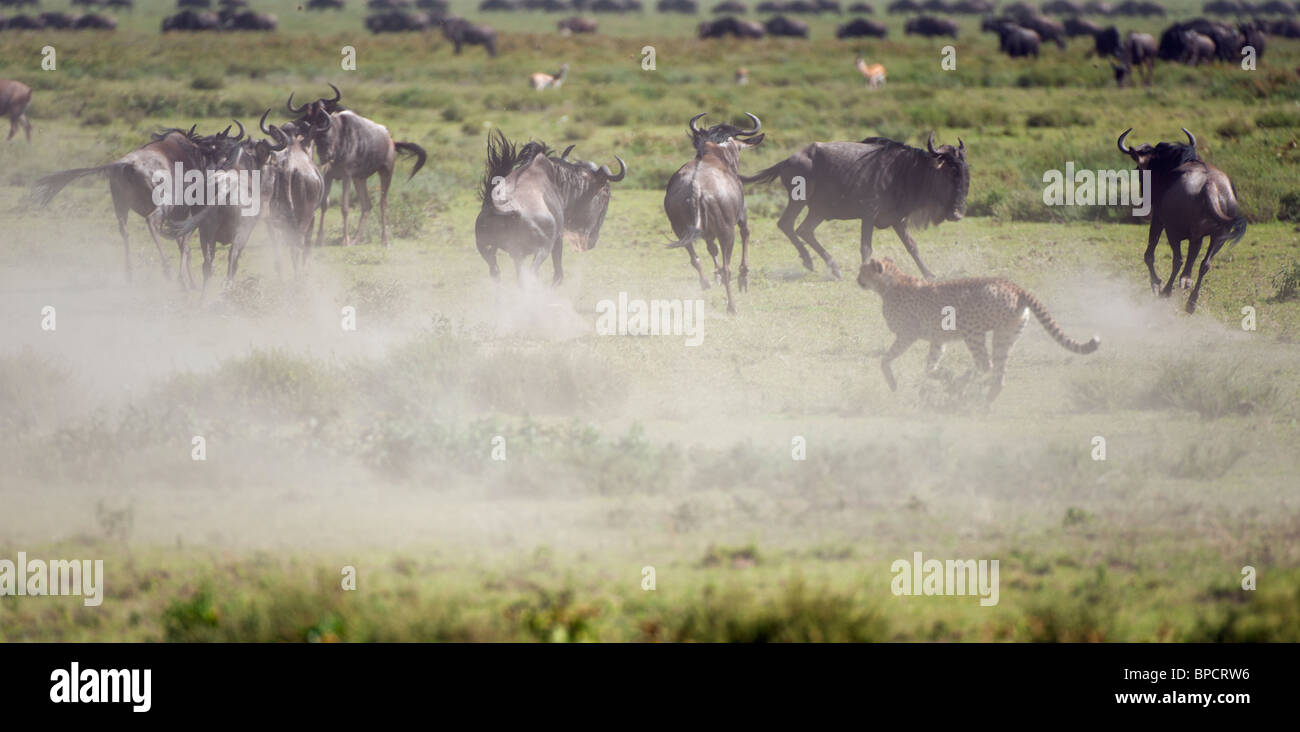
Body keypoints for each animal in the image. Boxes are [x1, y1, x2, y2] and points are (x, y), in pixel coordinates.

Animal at [857, 257, 1100, 401]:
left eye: (863, 271)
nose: (857, 279)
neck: (889, 283)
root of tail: (1013, 285)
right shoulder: (938, 339)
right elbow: (930, 366)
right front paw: (940, 376)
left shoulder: (908, 334)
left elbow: (885, 360)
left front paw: (893, 383)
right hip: (1005, 334)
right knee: (999, 374)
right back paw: (983, 402)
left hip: (971, 330)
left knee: (985, 364)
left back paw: (962, 385)